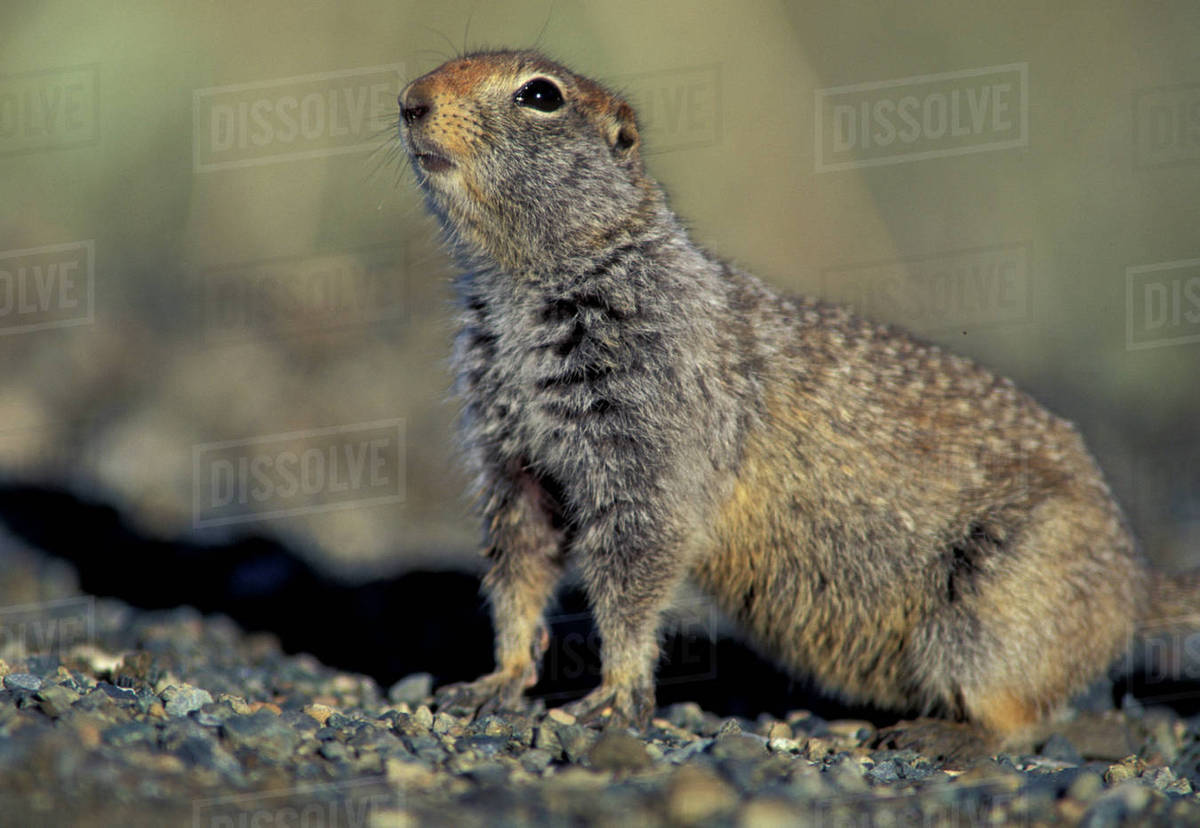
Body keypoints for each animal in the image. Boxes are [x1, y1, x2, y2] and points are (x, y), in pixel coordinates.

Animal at [396, 49, 1193, 748]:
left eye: (540, 95)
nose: (410, 99)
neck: (531, 287)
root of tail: (1134, 585)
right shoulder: (507, 445)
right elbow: (519, 559)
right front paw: (493, 680)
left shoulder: (650, 422)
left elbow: (636, 559)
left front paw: (613, 693)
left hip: (996, 606)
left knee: (1027, 716)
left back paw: (944, 736)